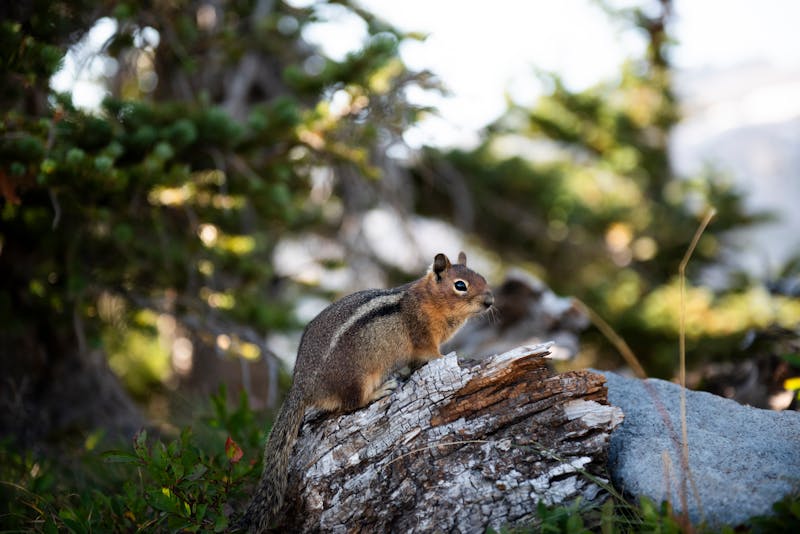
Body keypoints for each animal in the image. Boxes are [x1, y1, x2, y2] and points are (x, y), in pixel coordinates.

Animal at [241, 252, 494, 532]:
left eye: (483, 278)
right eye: (460, 285)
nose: (490, 301)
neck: (429, 300)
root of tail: (301, 386)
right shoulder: (423, 336)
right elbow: (431, 353)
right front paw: (454, 357)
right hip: (358, 378)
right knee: (353, 403)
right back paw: (381, 390)